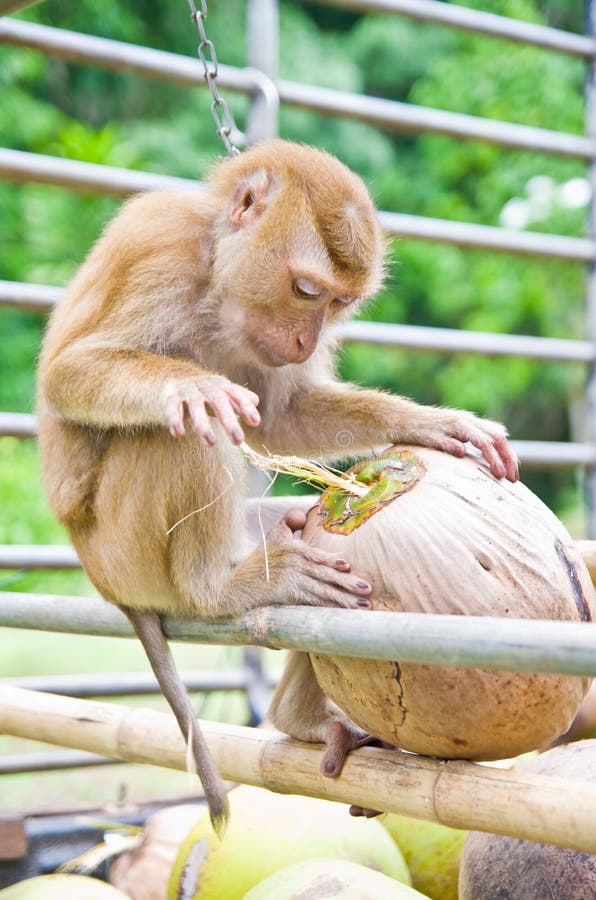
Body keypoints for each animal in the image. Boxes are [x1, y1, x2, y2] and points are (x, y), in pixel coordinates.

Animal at [36, 140, 518, 834]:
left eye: (338, 305)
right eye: (307, 289)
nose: (304, 340)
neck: (214, 274)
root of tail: (102, 580)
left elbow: (286, 412)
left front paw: (434, 423)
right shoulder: (157, 246)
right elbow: (68, 374)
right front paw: (191, 384)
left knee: (303, 530)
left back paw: (298, 709)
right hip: (125, 553)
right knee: (183, 432)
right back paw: (216, 587)